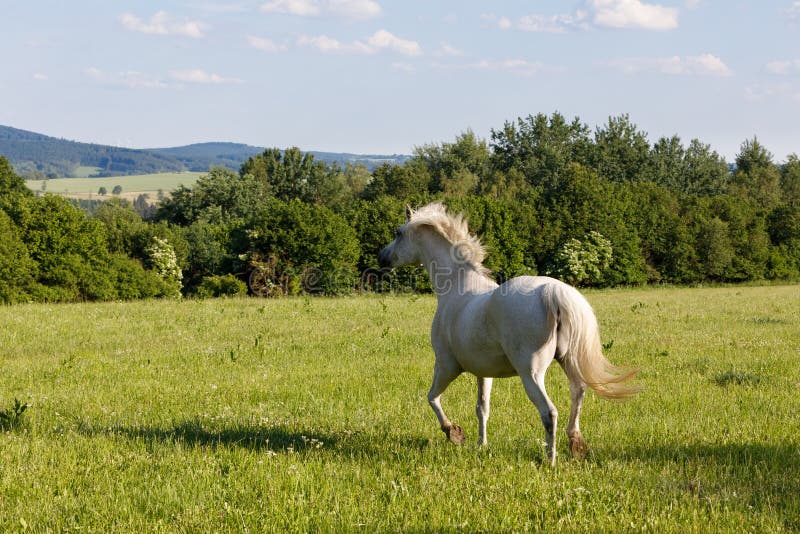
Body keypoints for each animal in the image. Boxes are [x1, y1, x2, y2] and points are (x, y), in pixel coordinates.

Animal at [378, 202, 640, 466]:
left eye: (398, 233)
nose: (381, 257)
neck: (457, 288)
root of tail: (552, 292)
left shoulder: (446, 365)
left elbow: (432, 398)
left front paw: (454, 433)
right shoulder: (483, 372)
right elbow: (482, 408)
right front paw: (481, 445)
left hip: (530, 373)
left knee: (549, 412)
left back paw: (550, 460)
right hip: (567, 361)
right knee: (578, 392)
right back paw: (576, 445)